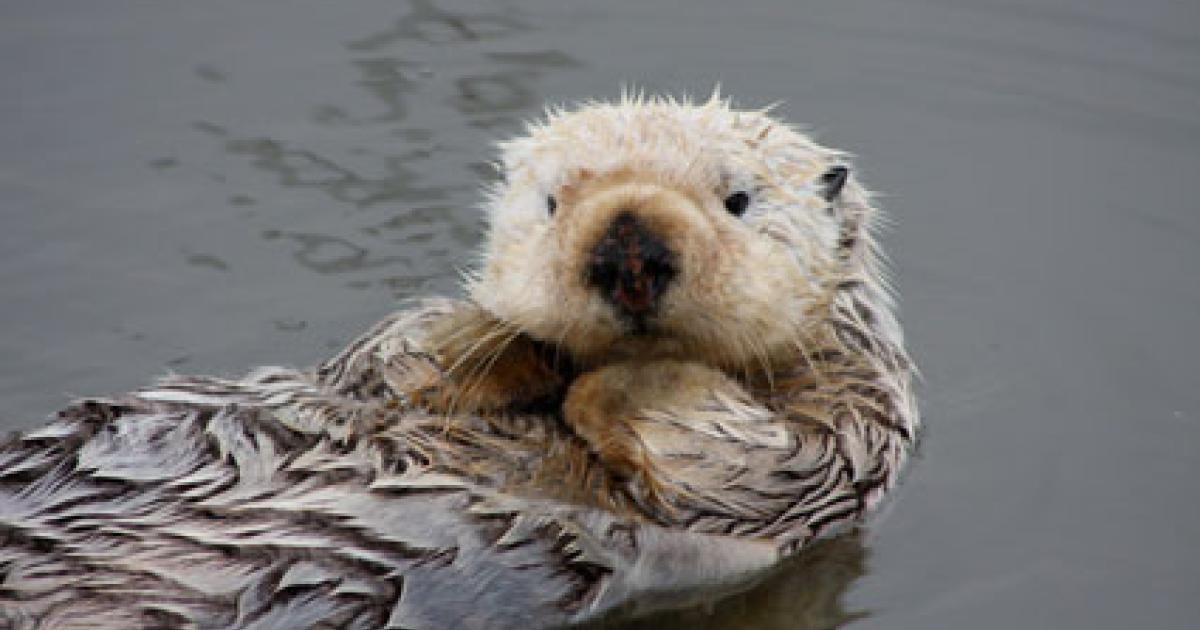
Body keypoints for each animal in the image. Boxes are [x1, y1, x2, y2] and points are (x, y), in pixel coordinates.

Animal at [0, 95, 917, 628]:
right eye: (551, 201)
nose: (629, 248)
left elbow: (756, 457)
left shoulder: (848, 441)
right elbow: (395, 351)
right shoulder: (370, 369)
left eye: (739, 199)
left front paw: (615, 381)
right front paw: (498, 344)